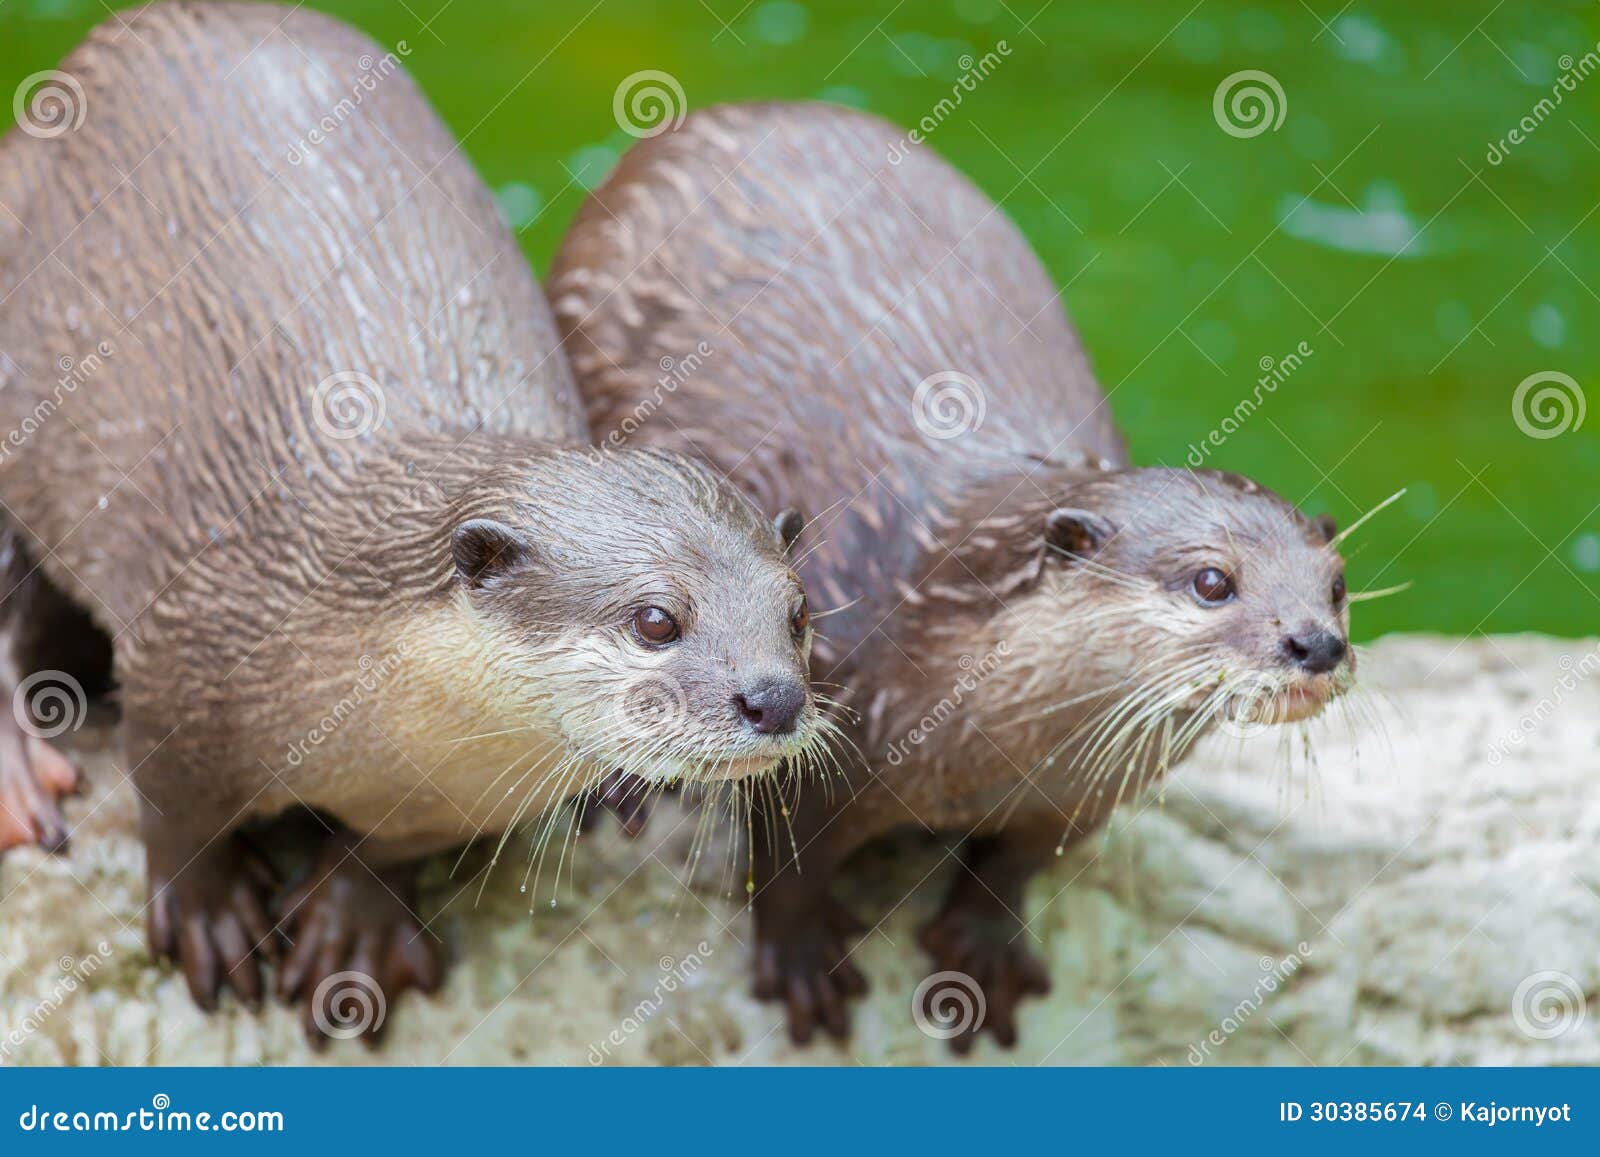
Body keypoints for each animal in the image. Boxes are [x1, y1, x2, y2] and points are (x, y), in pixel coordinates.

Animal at [0, 9, 822, 1039]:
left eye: (797, 612)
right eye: (655, 619)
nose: (775, 697)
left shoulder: (444, 803)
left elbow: (384, 849)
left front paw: (355, 926)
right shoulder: (184, 664)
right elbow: (173, 814)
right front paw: (208, 913)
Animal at [552, 102, 1365, 1052]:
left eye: (1336, 582)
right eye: (1211, 581)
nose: (1315, 642)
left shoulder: (1078, 798)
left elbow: (1017, 862)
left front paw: (983, 950)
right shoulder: (815, 720)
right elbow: (785, 859)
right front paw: (804, 964)